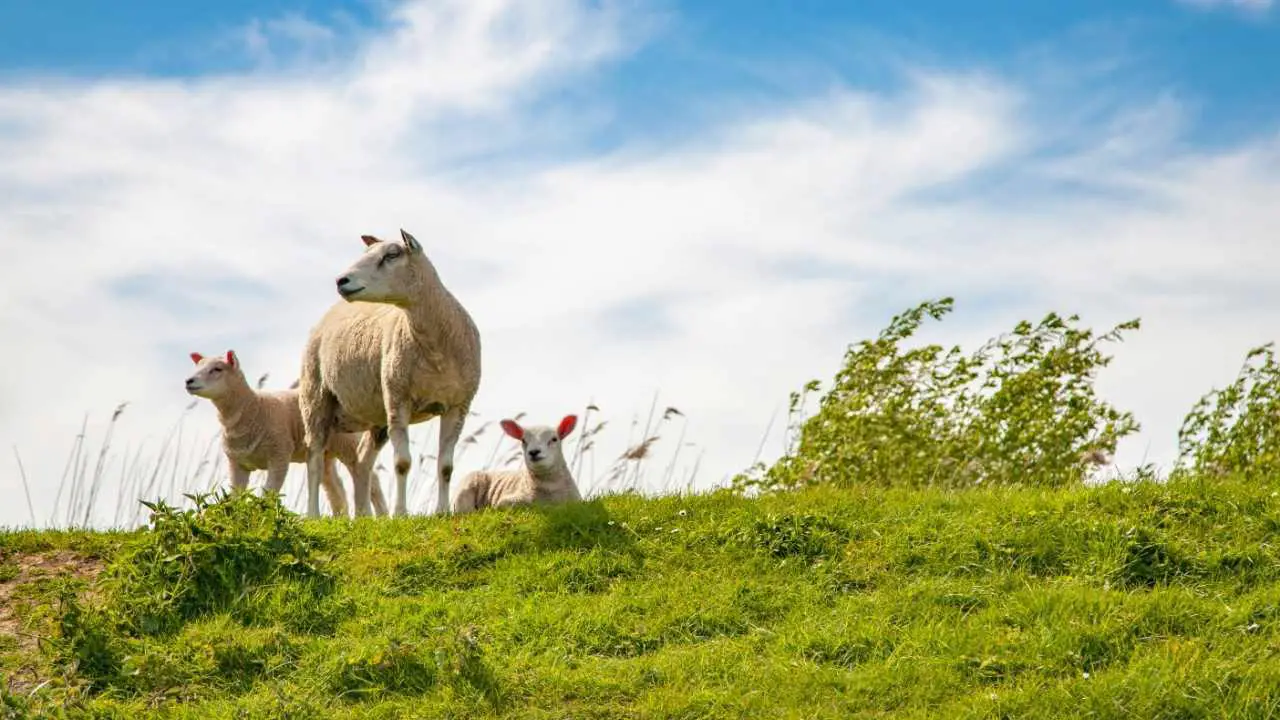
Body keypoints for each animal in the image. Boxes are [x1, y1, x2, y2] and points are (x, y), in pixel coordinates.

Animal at [185, 350, 390, 517]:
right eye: (198, 366)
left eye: (217, 369)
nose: (188, 381)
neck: (253, 408)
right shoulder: (237, 463)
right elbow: (236, 496)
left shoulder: (279, 455)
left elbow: (268, 493)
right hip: (324, 452)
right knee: (336, 489)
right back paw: (339, 520)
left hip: (348, 442)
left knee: (370, 477)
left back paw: (381, 516)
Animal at [298, 229, 482, 518]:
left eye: (392, 255)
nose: (341, 281)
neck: (435, 349)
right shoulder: (398, 399)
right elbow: (402, 463)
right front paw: (400, 513)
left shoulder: (458, 405)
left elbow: (445, 467)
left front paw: (442, 512)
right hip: (315, 396)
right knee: (314, 458)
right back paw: (314, 515)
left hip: (376, 416)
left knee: (362, 461)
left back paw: (363, 516)